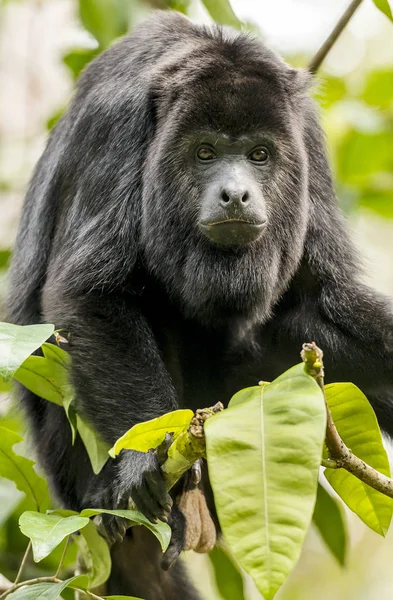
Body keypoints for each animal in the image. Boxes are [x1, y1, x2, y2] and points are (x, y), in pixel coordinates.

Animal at [6, 9, 393, 600]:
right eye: (204, 152)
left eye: (260, 154)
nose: (235, 193)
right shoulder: (115, 123)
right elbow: (92, 293)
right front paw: (141, 460)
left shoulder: (306, 134)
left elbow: (322, 301)